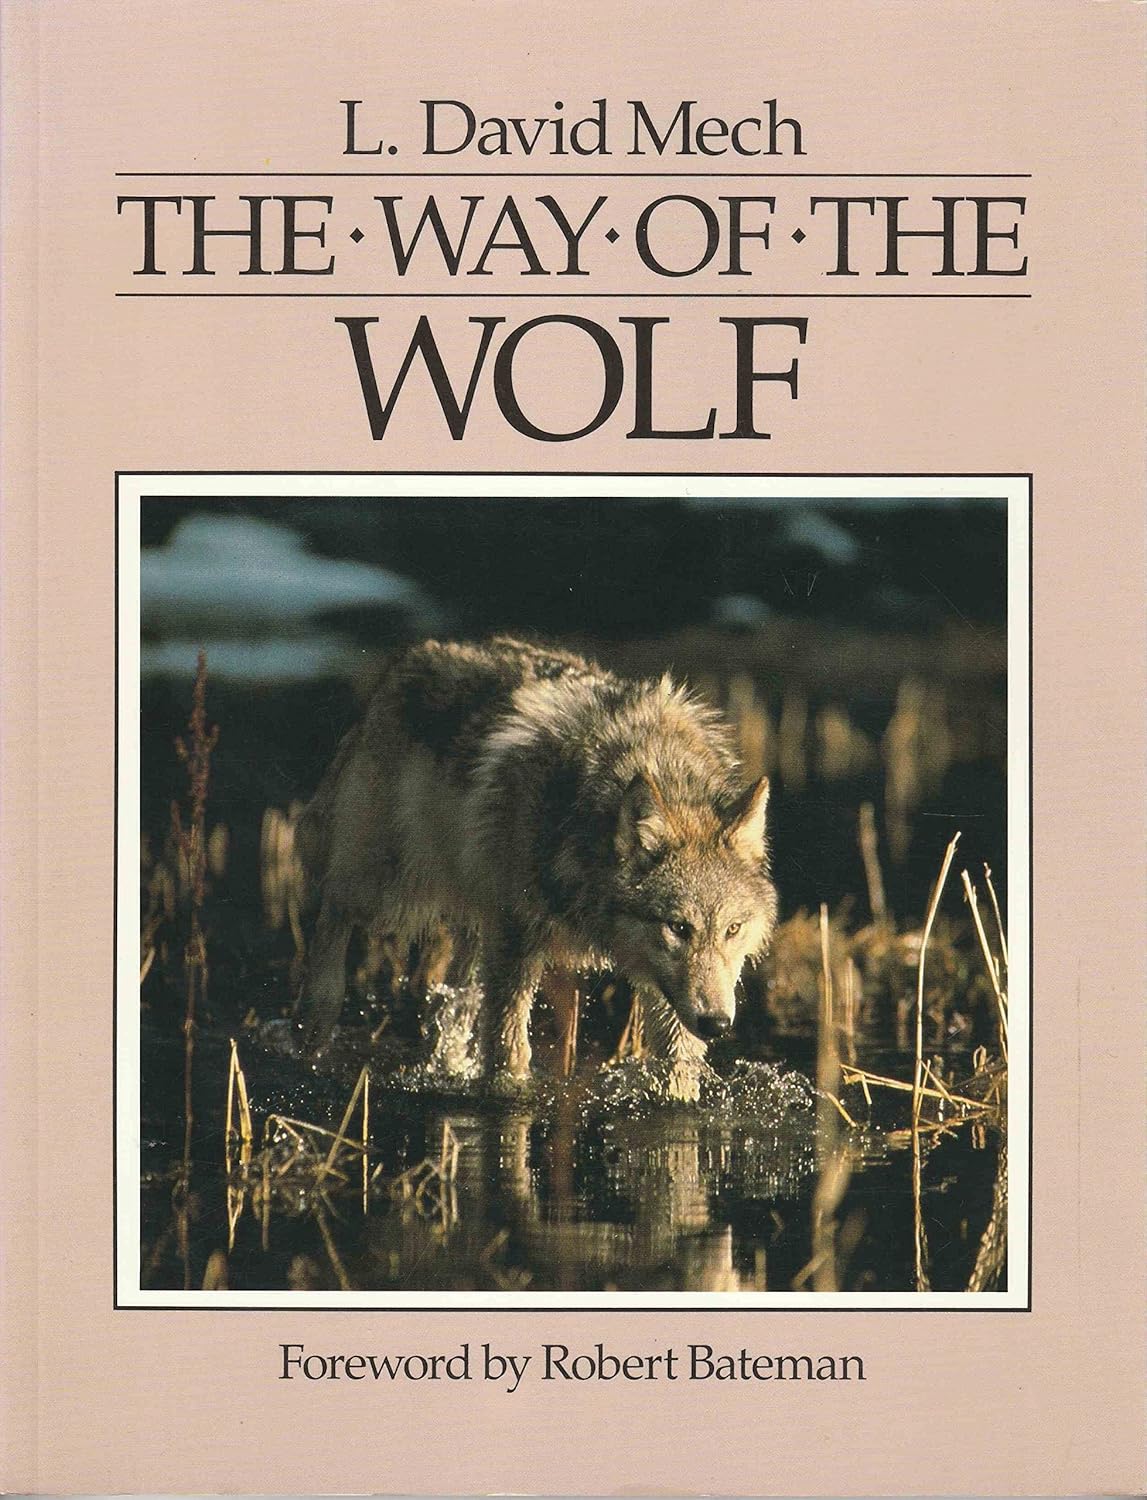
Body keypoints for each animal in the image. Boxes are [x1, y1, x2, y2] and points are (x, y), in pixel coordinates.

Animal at [294, 637, 778, 1083]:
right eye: (679, 928)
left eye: (733, 929)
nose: (717, 1023)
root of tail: (411, 657)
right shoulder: (516, 937)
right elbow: (510, 1052)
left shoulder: (660, 991)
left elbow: (679, 1067)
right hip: (388, 893)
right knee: (331, 912)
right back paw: (315, 1020)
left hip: (472, 922)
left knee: (451, 1005)